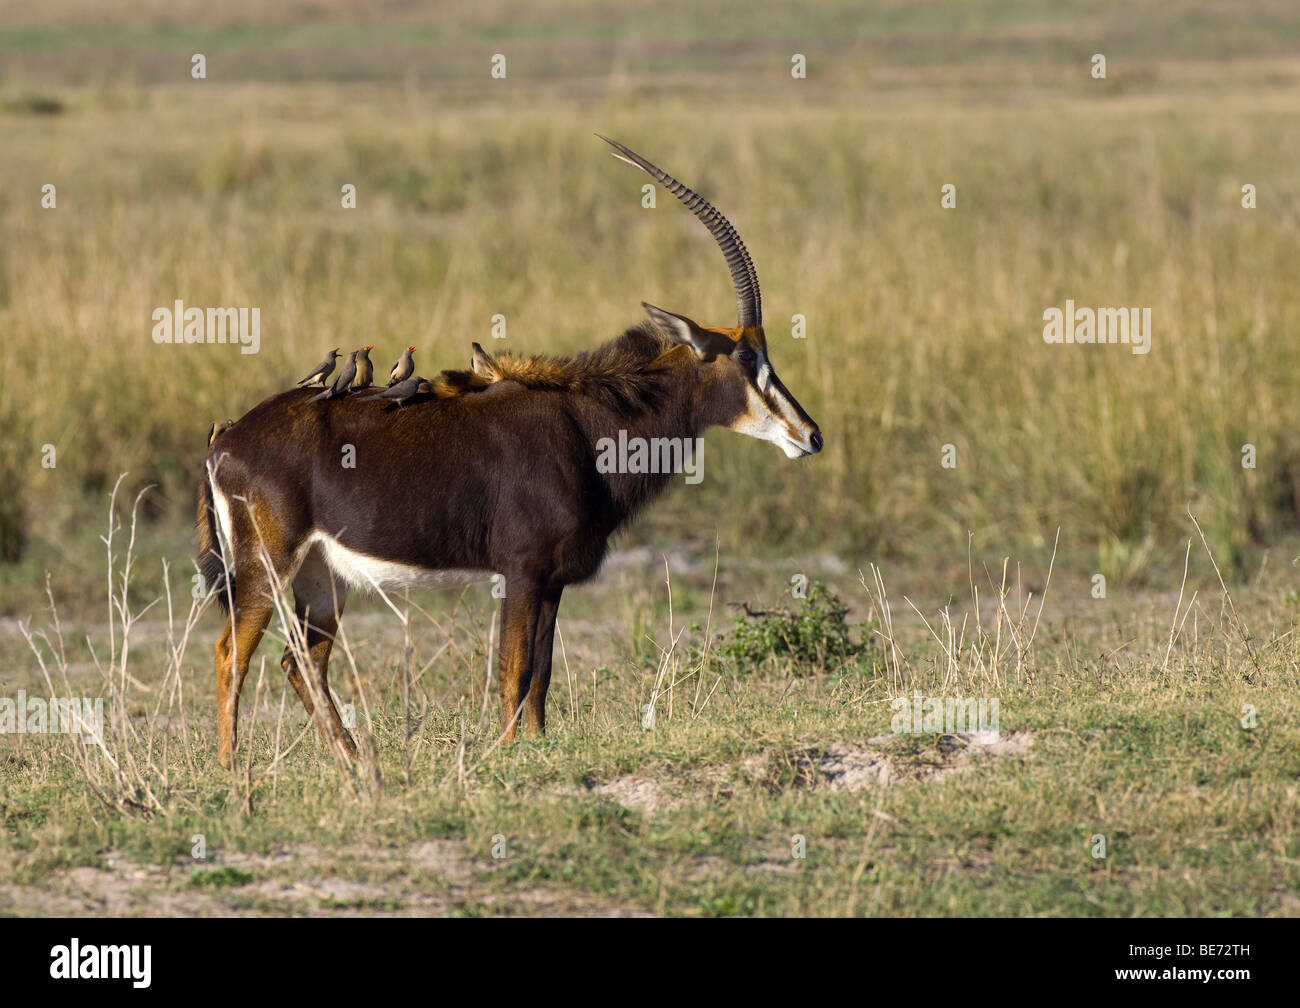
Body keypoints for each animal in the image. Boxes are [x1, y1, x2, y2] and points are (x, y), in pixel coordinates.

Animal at [198, 136, 823, 766]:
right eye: (748, 359)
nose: (810, 436)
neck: (585, 424)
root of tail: (226, 437)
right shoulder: (521, 571)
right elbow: (513, 671)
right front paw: (502, 753)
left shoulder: (551, 580)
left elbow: (539, 676)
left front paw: (535, 748)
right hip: (266, 566)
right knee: (232, 653)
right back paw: (231, 769)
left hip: (322, 576)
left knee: (300, 661)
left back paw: (355, 760)